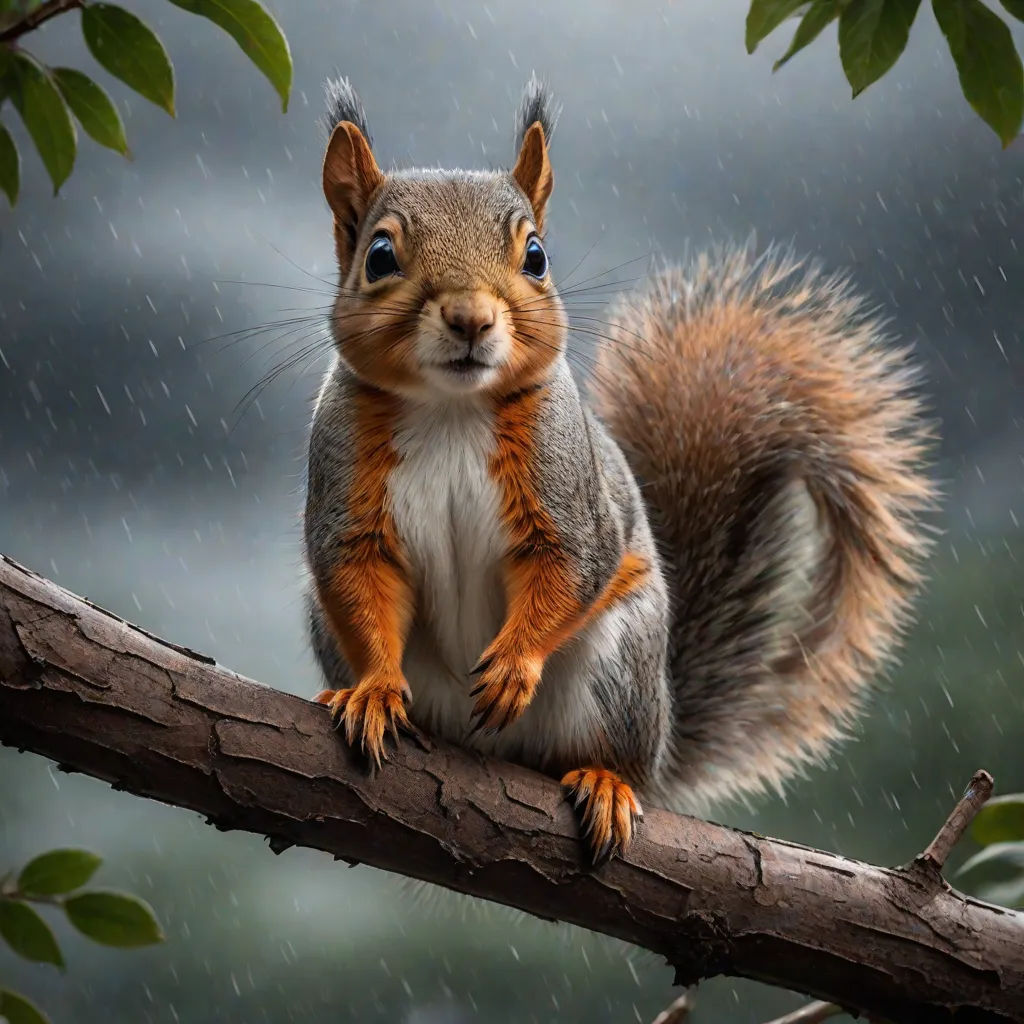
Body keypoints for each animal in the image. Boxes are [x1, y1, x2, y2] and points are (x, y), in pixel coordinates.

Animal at [303, 76, 934, 863]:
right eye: (380, 256)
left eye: (536, 257)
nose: (471, 318)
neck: (451, 408)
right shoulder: (344, 479)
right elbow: (358, 576)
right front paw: (374, 690)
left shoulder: (568, 490)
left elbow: (570, 565)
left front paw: (514, 665)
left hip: (620, 663)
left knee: (609, 747)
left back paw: (606, 780)